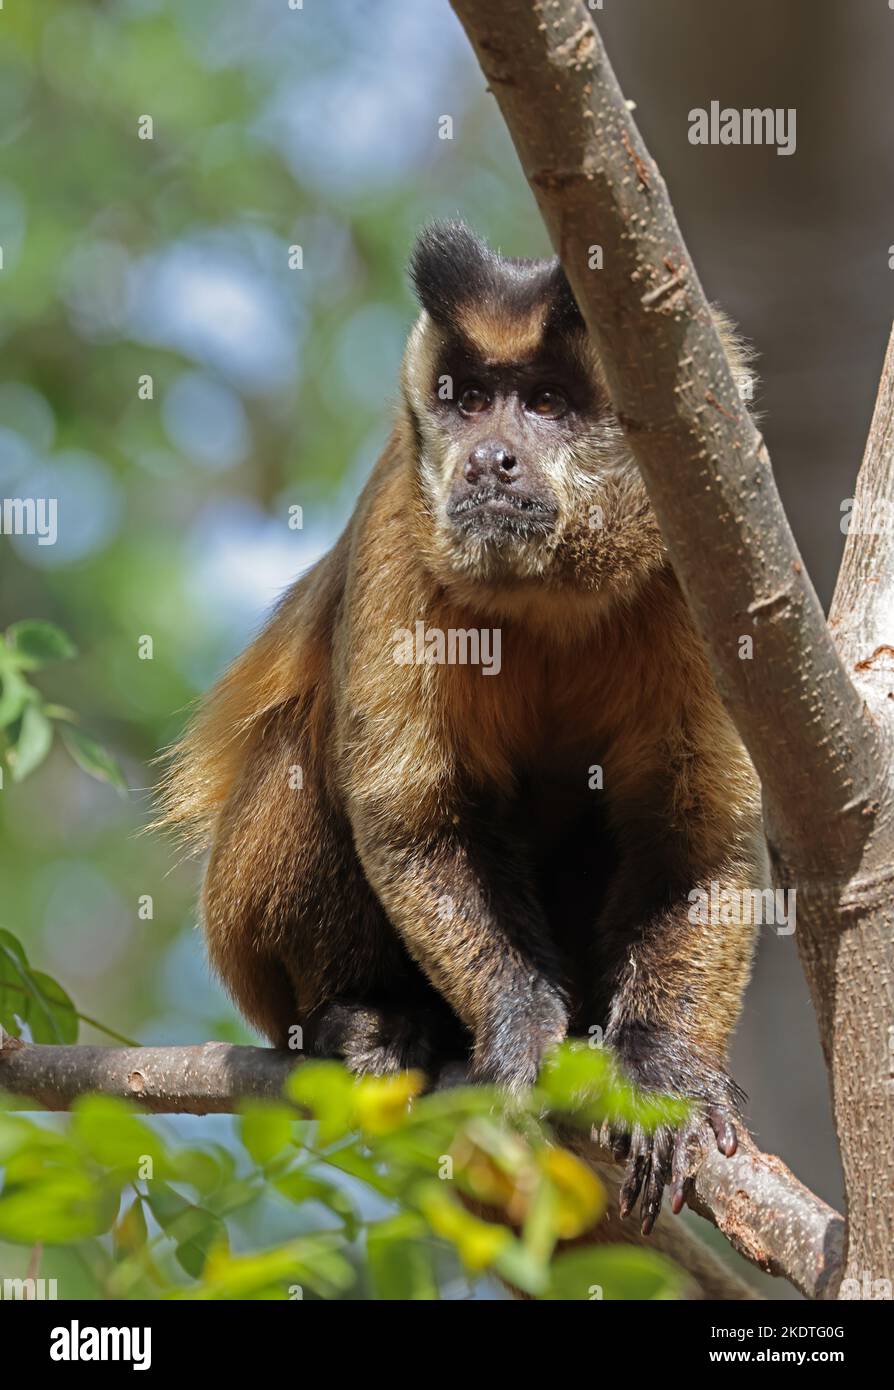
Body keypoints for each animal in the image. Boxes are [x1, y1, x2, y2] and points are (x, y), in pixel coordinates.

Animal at [160, 221, 767, 1235]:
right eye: (472, 402)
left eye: (549, 404)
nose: (488, 459)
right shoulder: (400, 529)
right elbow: (414, 820)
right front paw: (516, 1027)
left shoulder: (709, 570)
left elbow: (698, 837)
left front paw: (666, 1075)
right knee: (306, 754)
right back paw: (367, 1020)